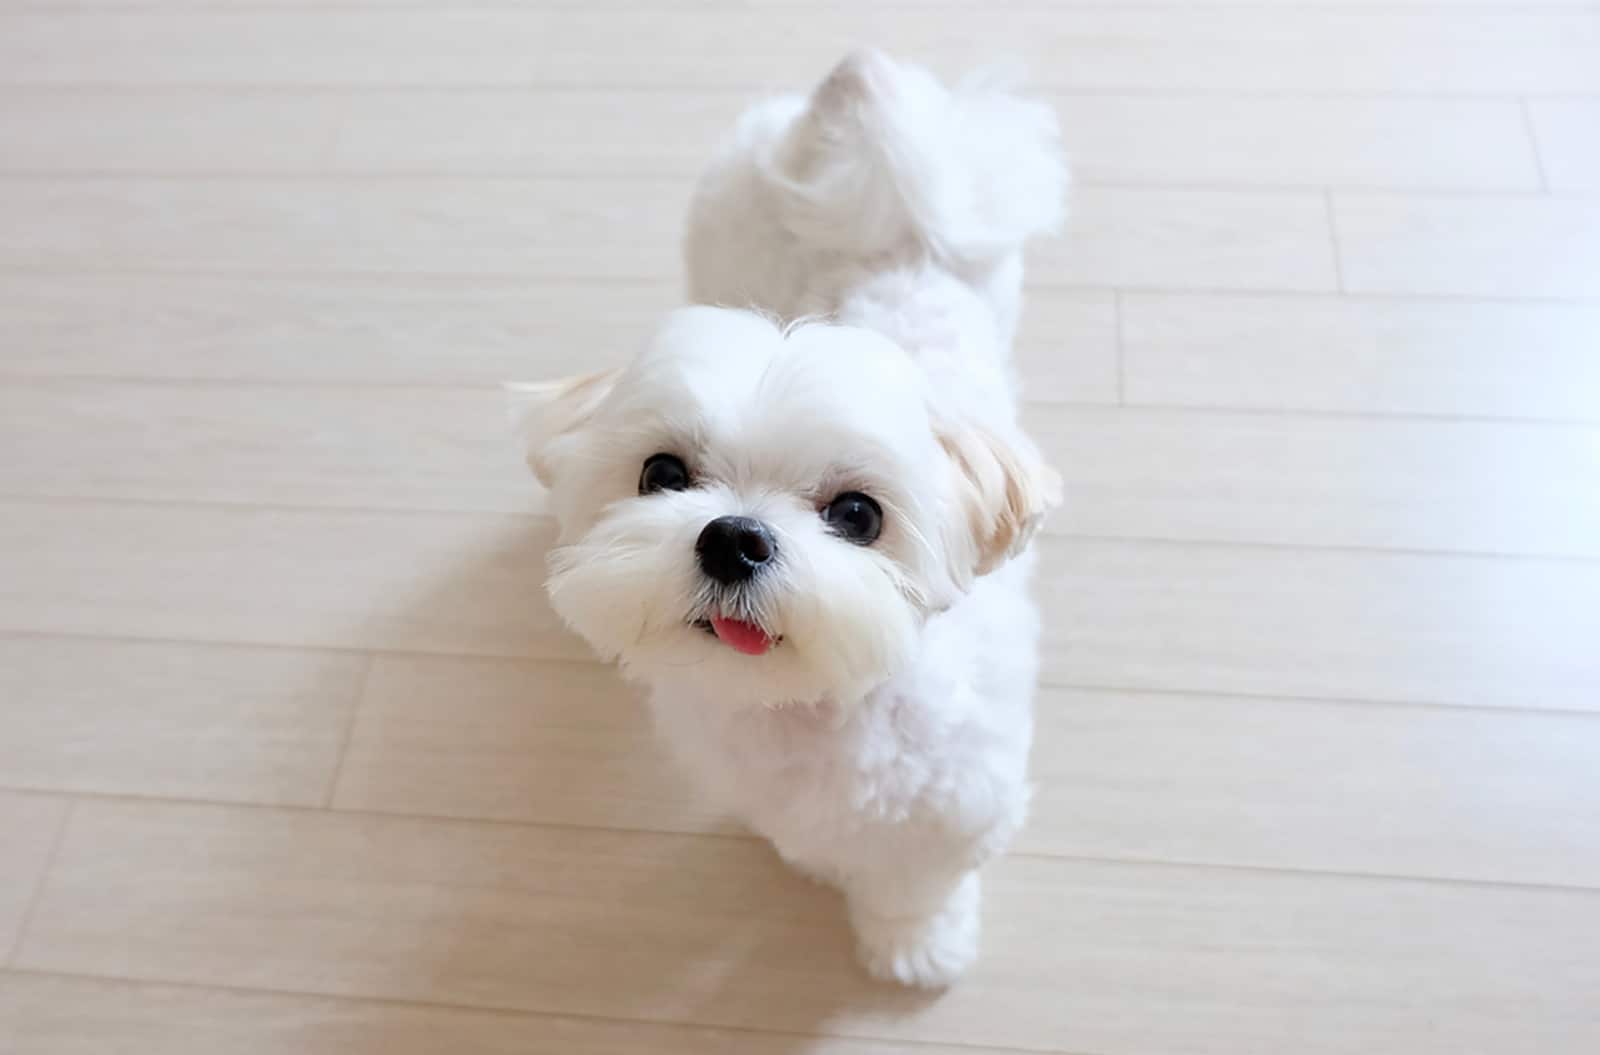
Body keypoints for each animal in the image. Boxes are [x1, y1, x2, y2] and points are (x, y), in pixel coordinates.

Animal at [508, 49, 1062, 992]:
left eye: (857, 514)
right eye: (663, 473)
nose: (734, 536)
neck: (809, 711)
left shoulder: (957, 809)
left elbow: (914, 883)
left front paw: (916, 945)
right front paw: (818, 866)